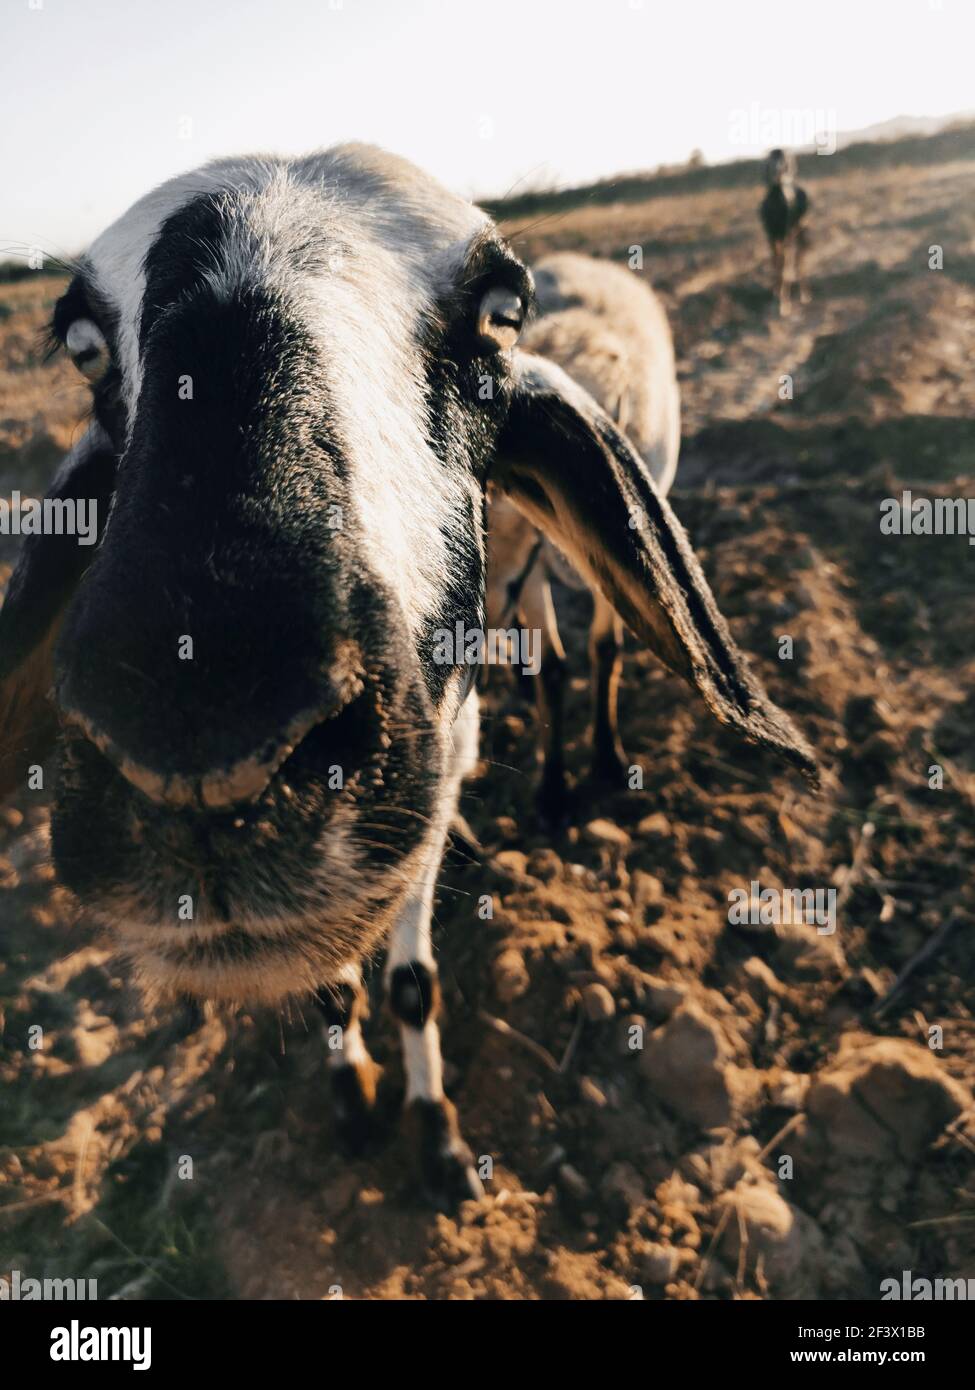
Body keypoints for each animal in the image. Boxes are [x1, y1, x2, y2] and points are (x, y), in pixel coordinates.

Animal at [759, 147, 810, 315]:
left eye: (785, 159)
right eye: (771, 159)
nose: (778, 172)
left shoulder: (786, 235)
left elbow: (784, 268)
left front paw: (784, 305)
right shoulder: (771, 236)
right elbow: (775, 264)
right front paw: (775, 296)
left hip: (801, 232)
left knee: (799, 259)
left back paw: (805, 295)